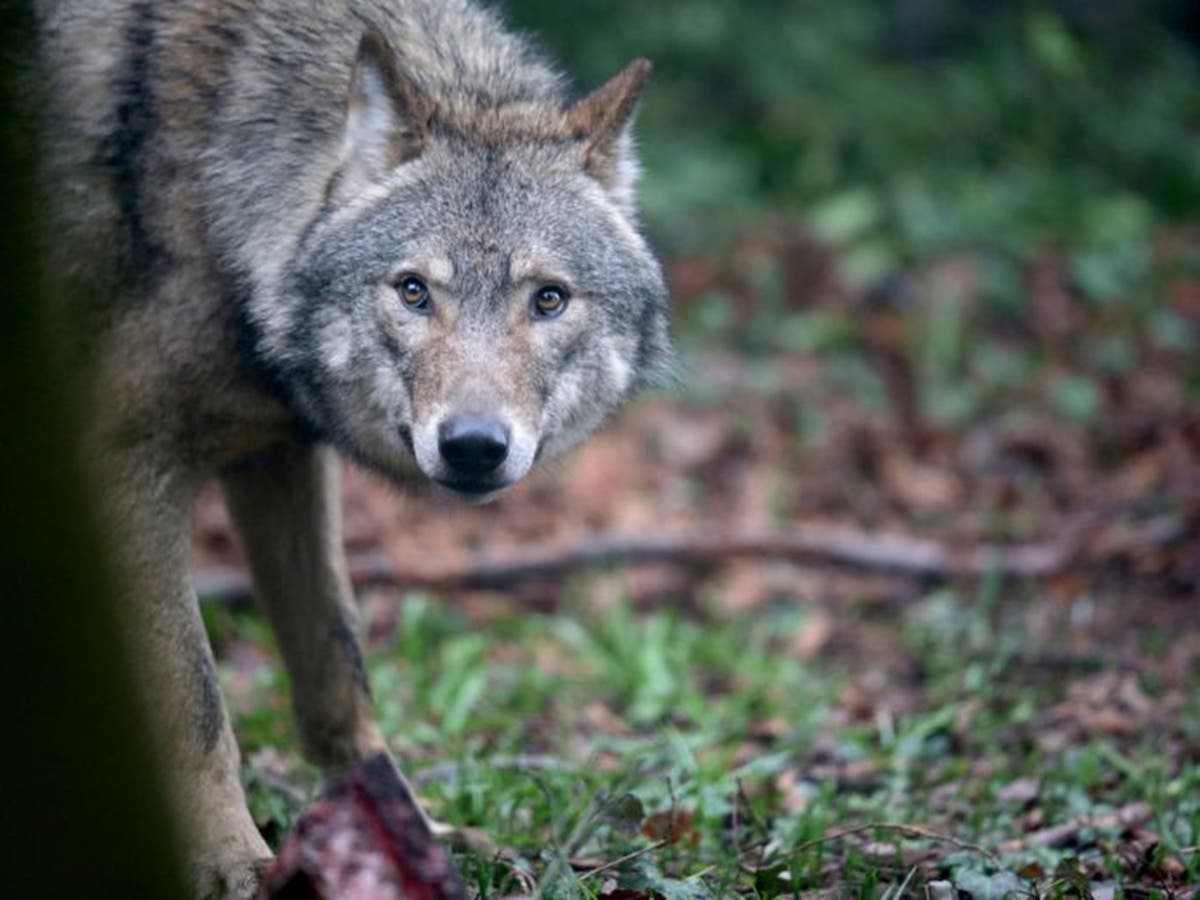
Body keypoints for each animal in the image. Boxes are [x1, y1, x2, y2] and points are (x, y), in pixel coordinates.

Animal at [34, 0, 670, 895]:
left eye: (547, 299)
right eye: (413, 291)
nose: (474, 446)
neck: (216, 180)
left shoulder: (277, 456)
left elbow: (338, 674)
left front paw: (407, 830)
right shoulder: (128, 457)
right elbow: (196, 701)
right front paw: (231, 862)